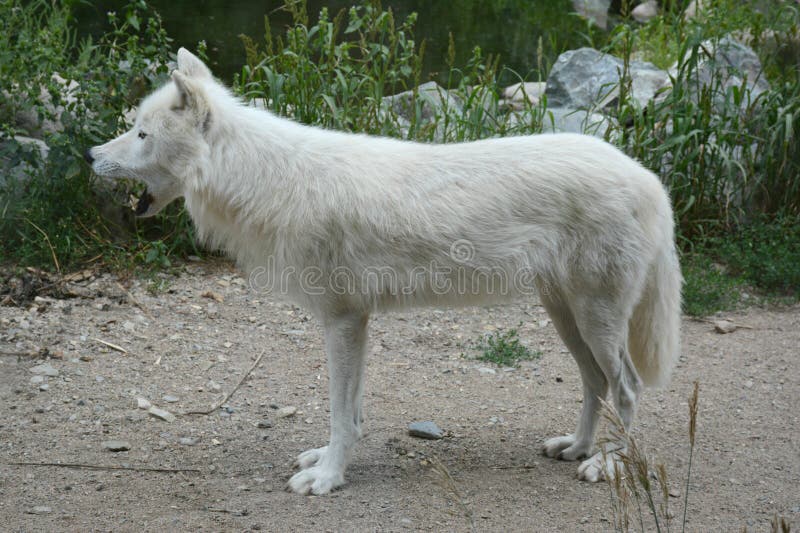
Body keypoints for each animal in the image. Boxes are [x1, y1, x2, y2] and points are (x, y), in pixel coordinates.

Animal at [87, 48, 682, 495]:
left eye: (141, 135)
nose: (91, 155)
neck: (265, 179)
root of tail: (649, 178)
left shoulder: (343, 321)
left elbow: (339, 412)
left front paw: (328, 478)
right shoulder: (354, 323)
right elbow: (350, 413)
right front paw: (326, 463)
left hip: (596, 319)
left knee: (627, 388)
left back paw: (609, 464)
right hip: (567, 316)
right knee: (595, 382)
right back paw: (577, 448)